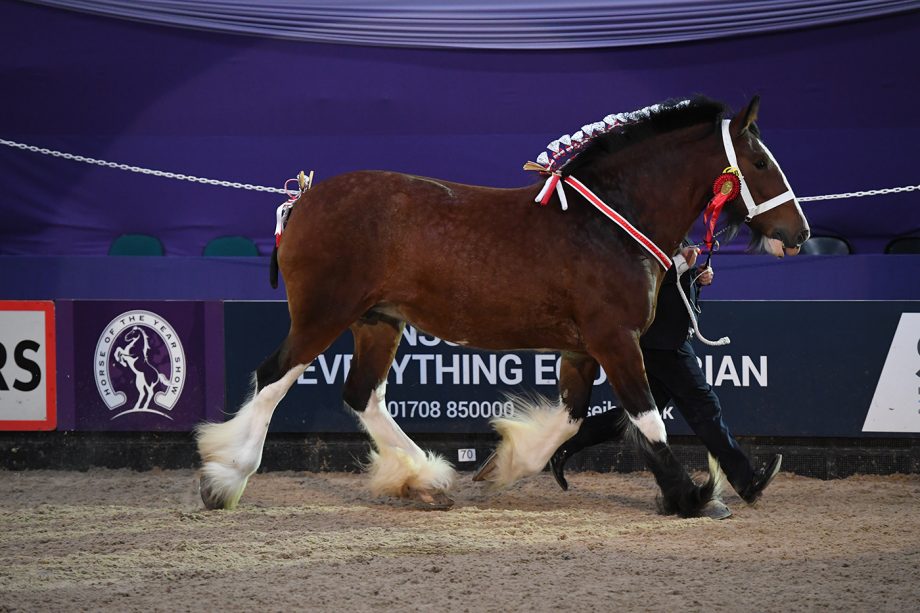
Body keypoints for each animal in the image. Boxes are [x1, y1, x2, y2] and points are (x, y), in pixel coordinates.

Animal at [196, 95, 809, 515]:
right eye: (760, 164)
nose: (798, 233)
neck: (606, 224)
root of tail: (302, 200)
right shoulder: (616, 340)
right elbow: (648, 418)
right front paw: (691, 496)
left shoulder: (583, 350)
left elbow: (569, 420)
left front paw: (505, 464)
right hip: (324, 316)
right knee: (272, 377)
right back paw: (224, 478)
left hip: (378, 322)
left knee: (361, 394)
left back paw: (424, 479)